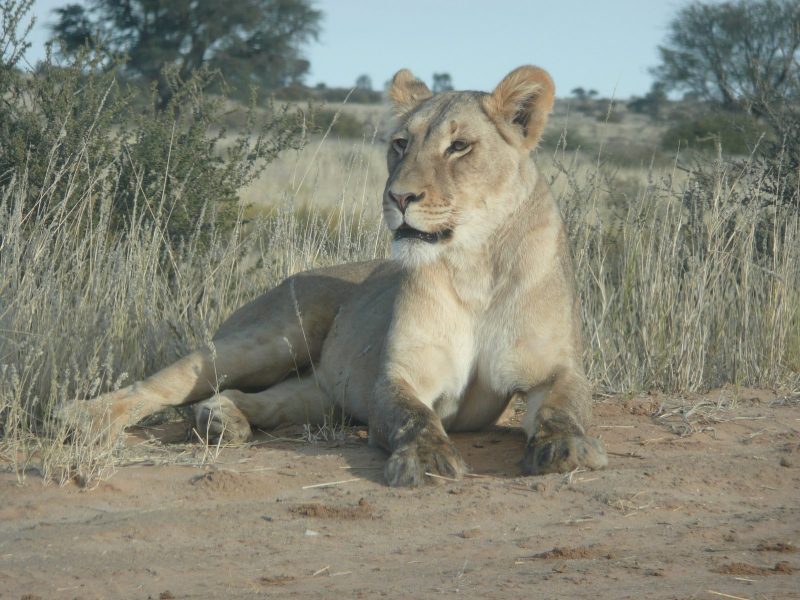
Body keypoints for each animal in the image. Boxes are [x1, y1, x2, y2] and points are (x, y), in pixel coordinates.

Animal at [61, 65, 608, 486]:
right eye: (400, 144)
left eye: (459, 147)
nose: (399, 197)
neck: (474, 264)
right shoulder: (399, 376)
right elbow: (414, 418)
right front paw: (427, 459)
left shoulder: (554, 369)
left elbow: (565, 407)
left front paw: (568, 450)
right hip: (272, 336)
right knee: (163, 385)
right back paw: (81, 418)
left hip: (321, 394)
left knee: (249, 399)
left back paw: (220, 422)